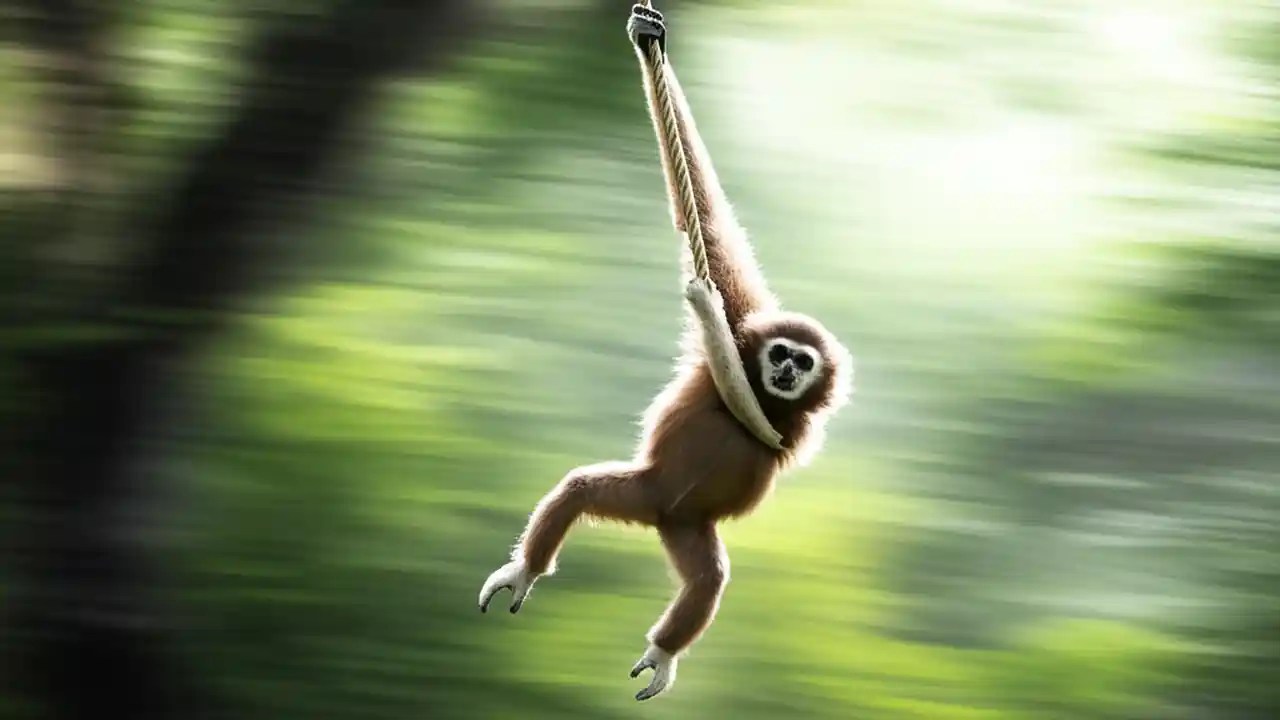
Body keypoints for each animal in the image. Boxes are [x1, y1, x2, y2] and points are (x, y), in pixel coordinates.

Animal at [478, 4, 853, 702]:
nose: (787, 371)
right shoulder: (744, 318)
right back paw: (526, 570)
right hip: (644, 490)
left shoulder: (799, 427)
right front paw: (648, 36)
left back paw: (663, 649)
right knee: (579, 490)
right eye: (781, 354)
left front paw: (703, 311)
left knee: (707, 580)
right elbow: (703, 221)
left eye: (804, 362)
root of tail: (659, 513)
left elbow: (760, 427)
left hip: (686, 526)